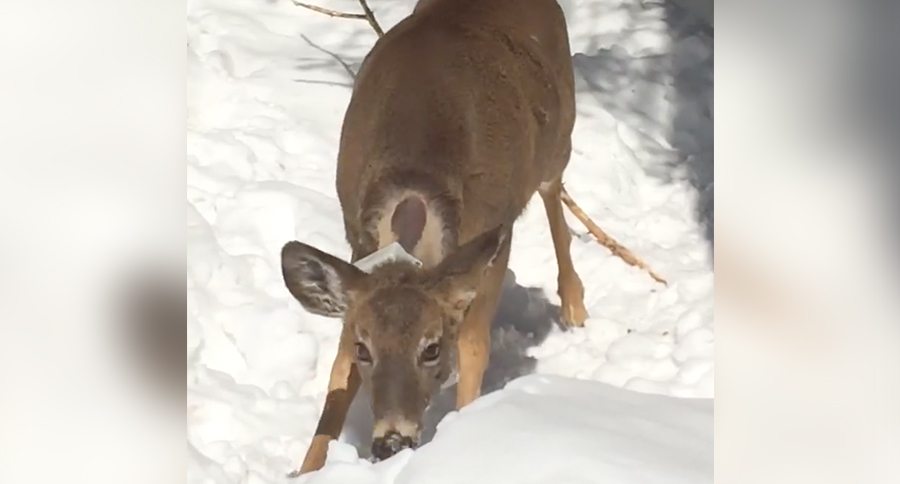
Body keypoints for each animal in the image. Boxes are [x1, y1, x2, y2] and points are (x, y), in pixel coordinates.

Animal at [280, 0, 588, 475]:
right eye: (364, 348)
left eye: (431, 348)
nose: (391, 442)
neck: (415, 178)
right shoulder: (358, 245)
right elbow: (336, 374)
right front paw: (307, 467)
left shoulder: (490, 248)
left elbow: (474, 347)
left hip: (561, 136)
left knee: (554, 193)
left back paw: (574, 305)